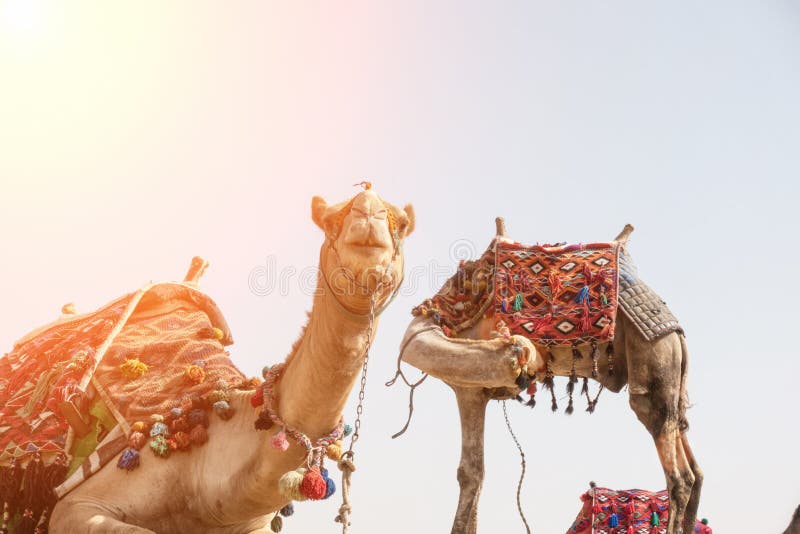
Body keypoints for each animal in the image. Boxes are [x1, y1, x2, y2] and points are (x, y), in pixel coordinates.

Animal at [397, 219, 702, 534]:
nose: (530, 373)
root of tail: (677, 334)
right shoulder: (476, 391)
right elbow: (476, 471)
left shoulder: (467, 388)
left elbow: (468, 472)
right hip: (671, 382)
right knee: (694, 470)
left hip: (654, 359)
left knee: (678, 475)